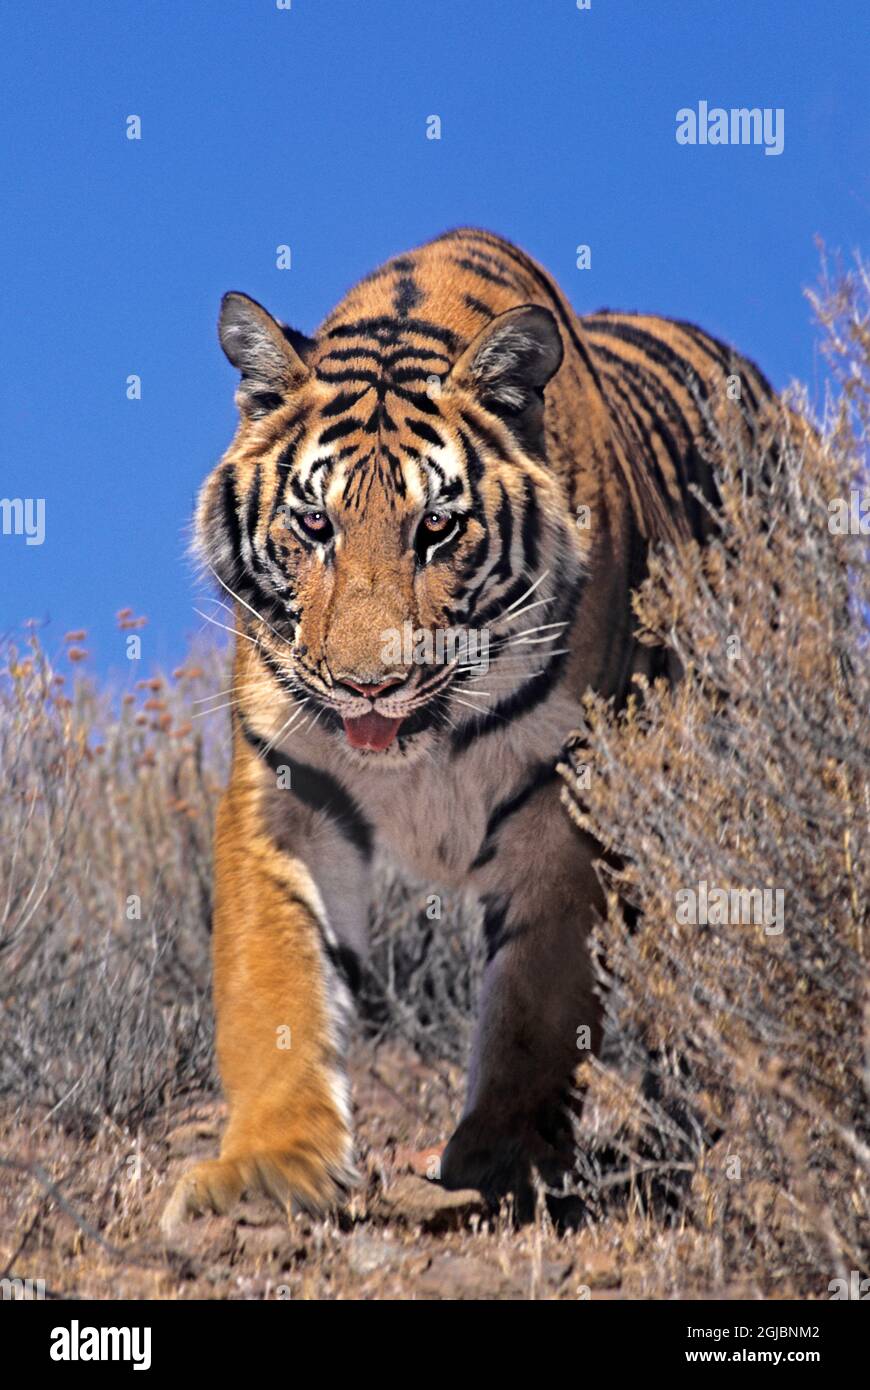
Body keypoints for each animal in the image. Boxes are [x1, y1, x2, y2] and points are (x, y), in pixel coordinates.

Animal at [161, 227, 775, 1233]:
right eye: (314, 524)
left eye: (438, 529)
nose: (368, 686)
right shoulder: (287, 784)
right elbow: (275, 981)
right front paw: (269, 1168)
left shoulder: (564, 803)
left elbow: (535, 1000)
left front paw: (502, 1158)